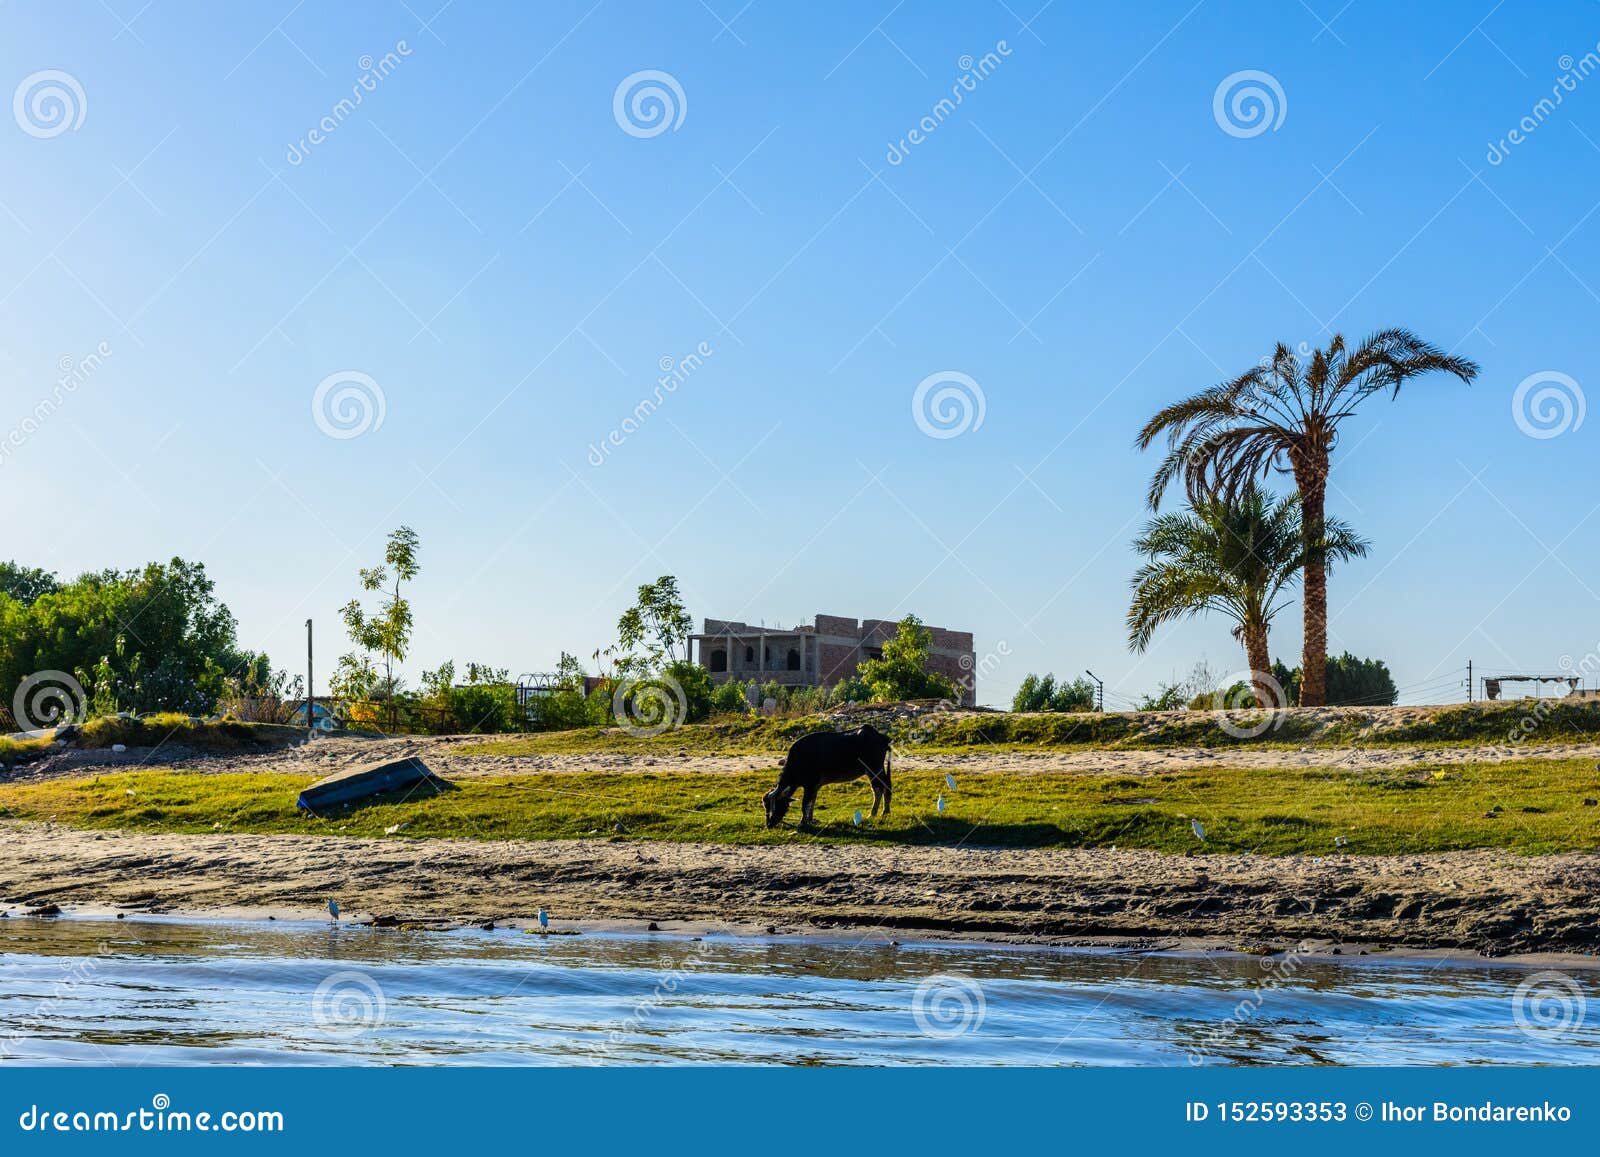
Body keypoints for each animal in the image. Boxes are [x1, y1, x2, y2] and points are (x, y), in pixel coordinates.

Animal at [763, 725, 893, 829]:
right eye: (766, 806)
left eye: (774, 804)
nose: (769, 824)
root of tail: (883, 738)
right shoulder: (815, 786)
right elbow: (812, 802)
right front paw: (810, 820)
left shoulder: (810, 785)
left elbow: (805, 804)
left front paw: (802, 823)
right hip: (877, 769)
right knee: (886, 786)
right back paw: (885, 812)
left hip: (873, 769)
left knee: (878, 788)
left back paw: (873, 814)